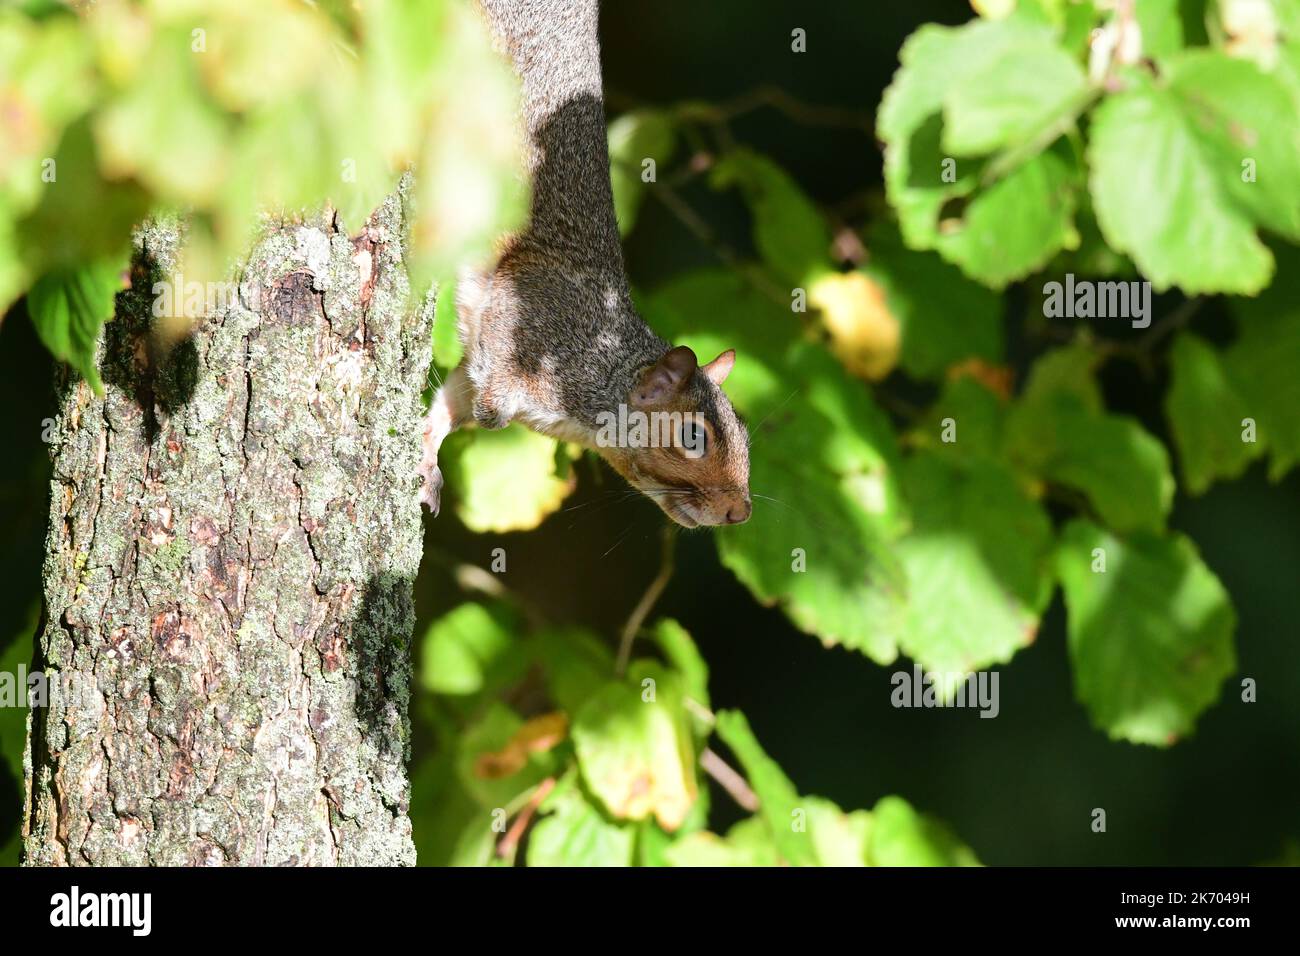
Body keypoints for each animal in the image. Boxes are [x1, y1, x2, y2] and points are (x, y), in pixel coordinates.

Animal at [419, 0, 752, 528]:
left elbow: (451, 404)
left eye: (745, 434)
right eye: (692, 436)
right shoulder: (526, 315)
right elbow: (490, 400)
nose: (740, 512)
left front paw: (426, 458)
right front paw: (490, 412)